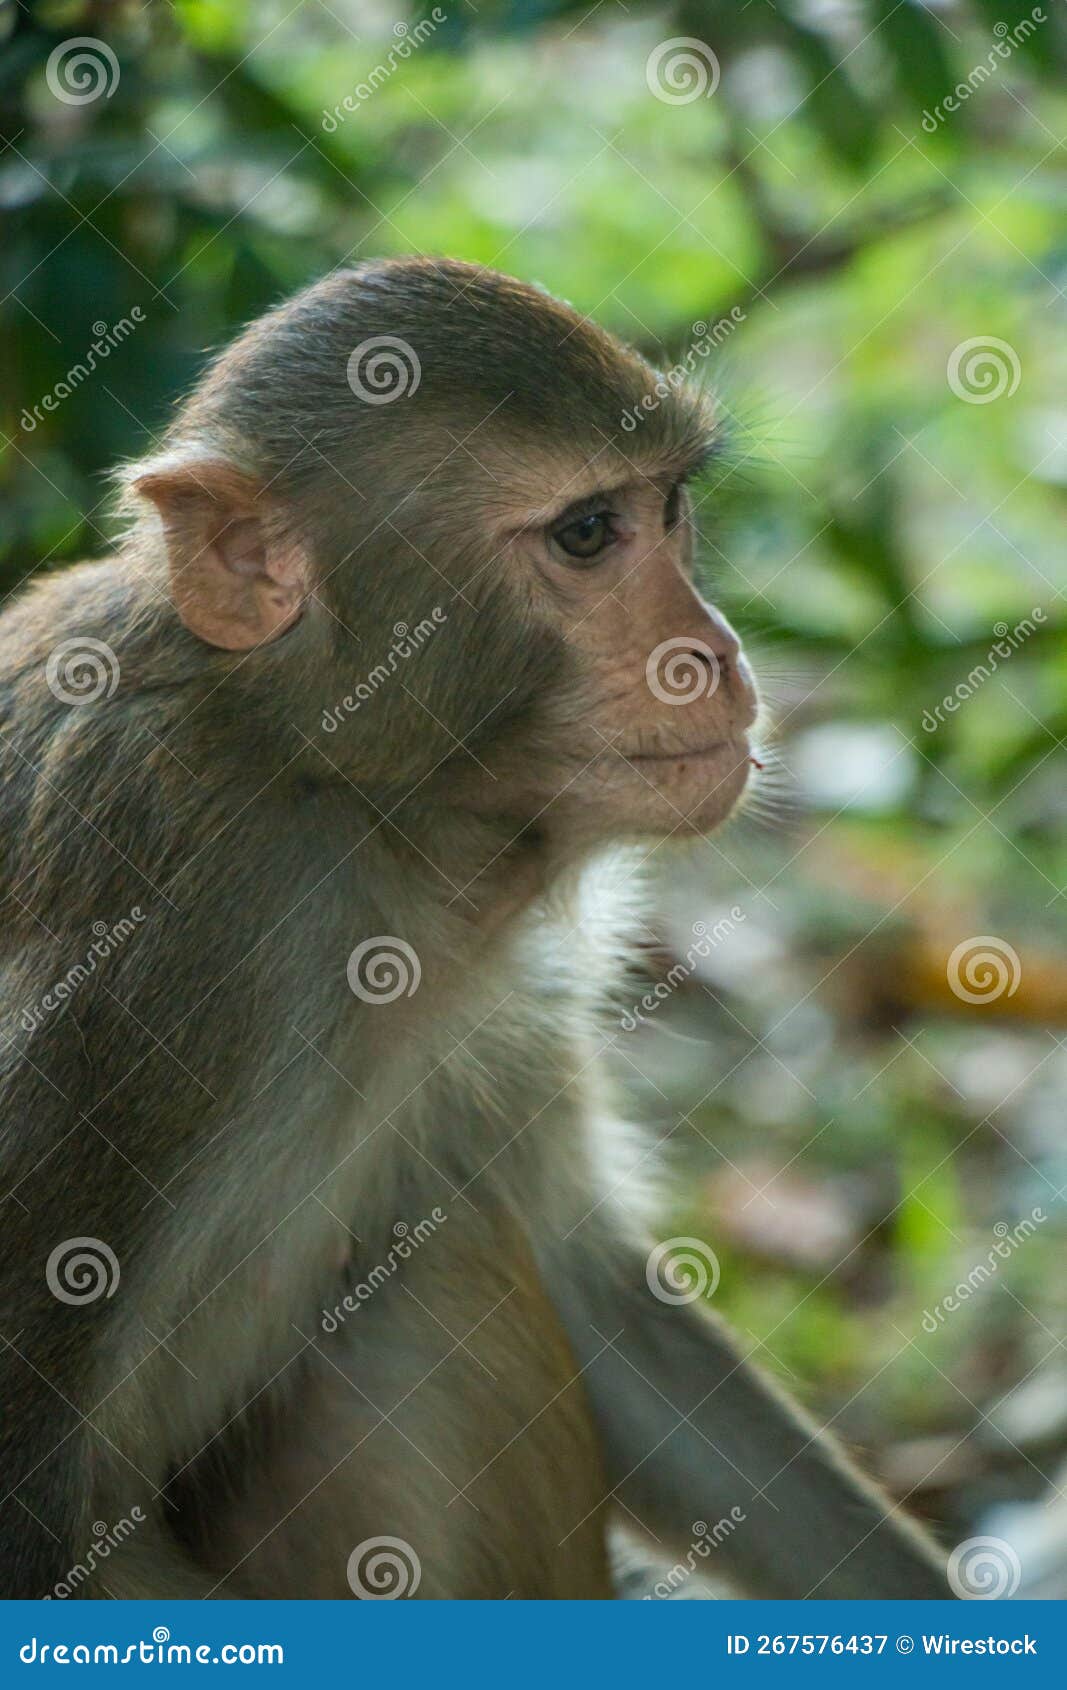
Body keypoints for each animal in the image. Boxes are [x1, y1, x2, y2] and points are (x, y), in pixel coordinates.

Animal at [0, 257, 949, 1600]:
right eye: (585, 535)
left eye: (667, 508)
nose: (712, 653)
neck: (345, 800)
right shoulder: (147, 952)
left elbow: (595, 1301)